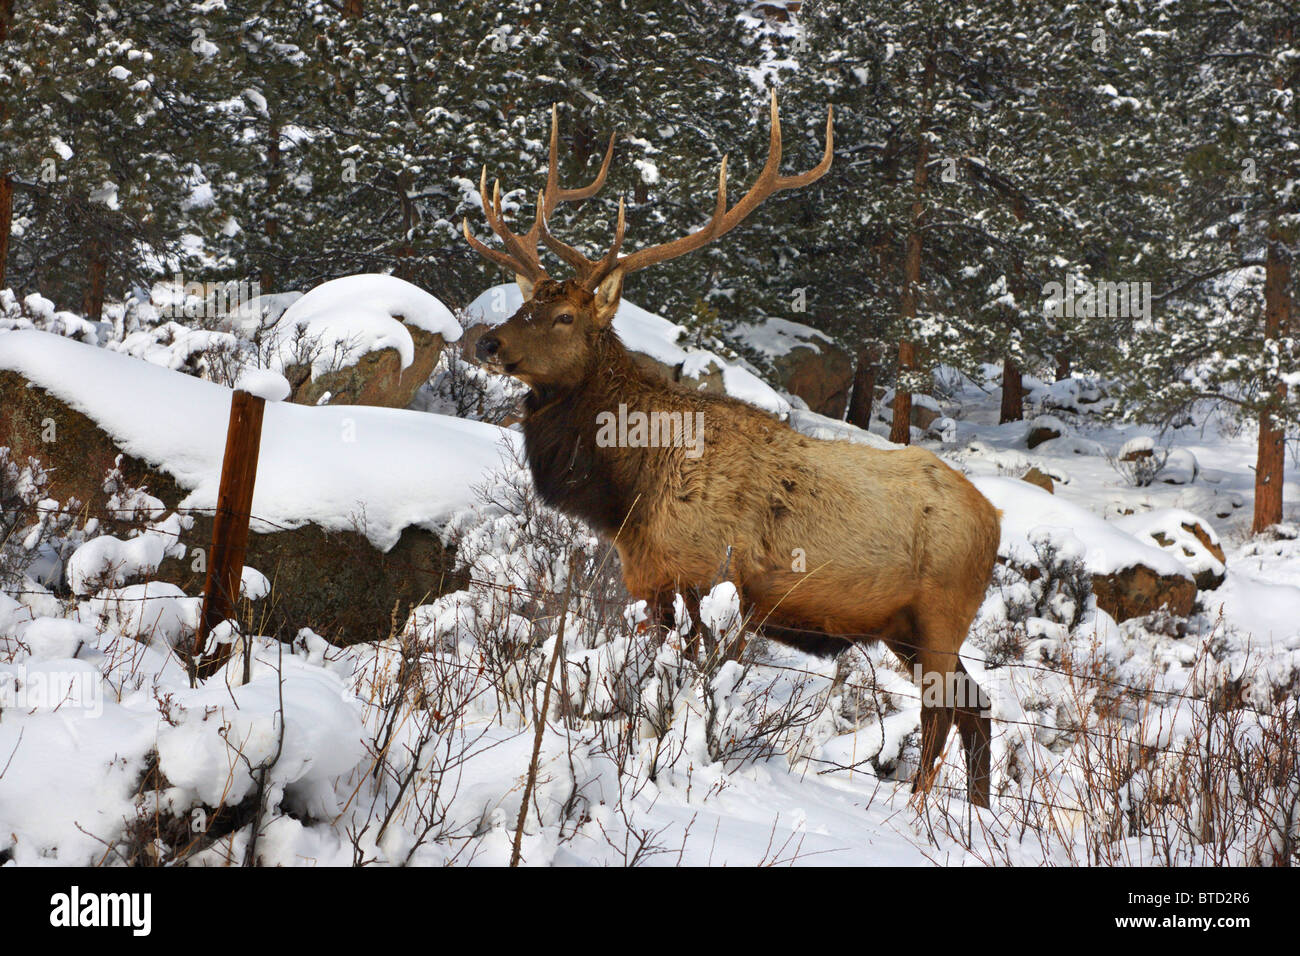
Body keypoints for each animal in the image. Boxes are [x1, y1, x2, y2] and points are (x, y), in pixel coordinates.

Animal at [462, 93, 1001, 806]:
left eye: (565, 317)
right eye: (528, 304)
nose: (487, 342)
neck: (628, 494)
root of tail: (996, 520)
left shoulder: (709, 574)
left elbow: (692, 682)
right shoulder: (650, 577)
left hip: (942, 611)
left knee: (943, 712)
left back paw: (912, 809)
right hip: (903, 627)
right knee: (977, 705)